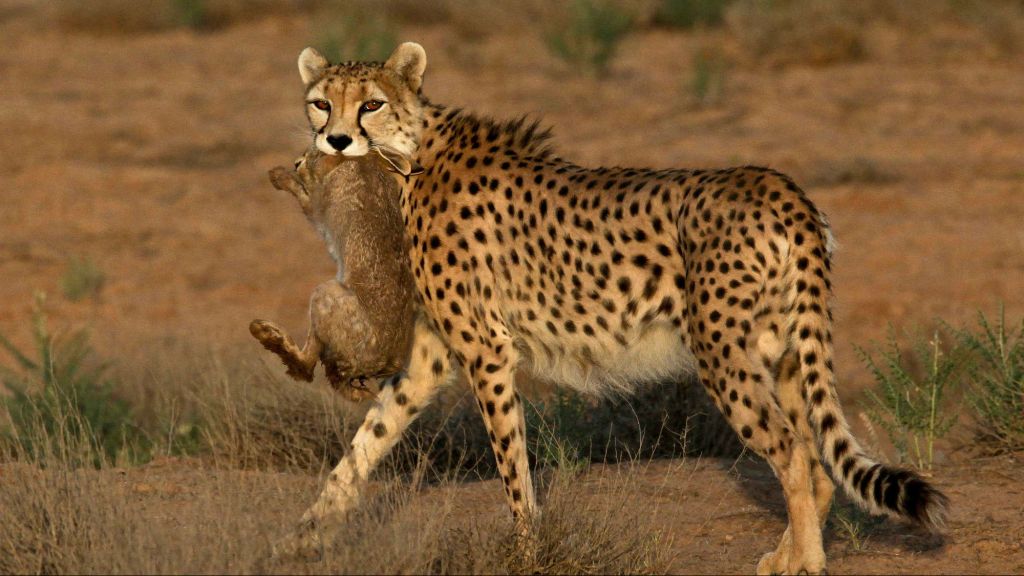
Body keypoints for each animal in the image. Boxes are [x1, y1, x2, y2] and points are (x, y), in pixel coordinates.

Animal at [250, 146, 417, 401]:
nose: (297, 162)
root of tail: (377, 364)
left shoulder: (317, 202)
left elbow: (304, 194)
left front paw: (278, 176)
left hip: (325, 295)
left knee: (305, 367)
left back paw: (265, 332)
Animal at [274, 42, 949, 574]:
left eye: (370, 104)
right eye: (320, 102)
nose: (335, 138)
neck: (407, 158)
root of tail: (777, 184)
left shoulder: (487, 350)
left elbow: (511, 464)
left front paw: (526, 551)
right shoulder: (431, 359)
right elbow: (365, 444)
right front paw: (300, 538)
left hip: (723, 353)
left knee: (793, 450)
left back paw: (807, 561)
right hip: (781, 351)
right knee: (814, 453)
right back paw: (785, 555)